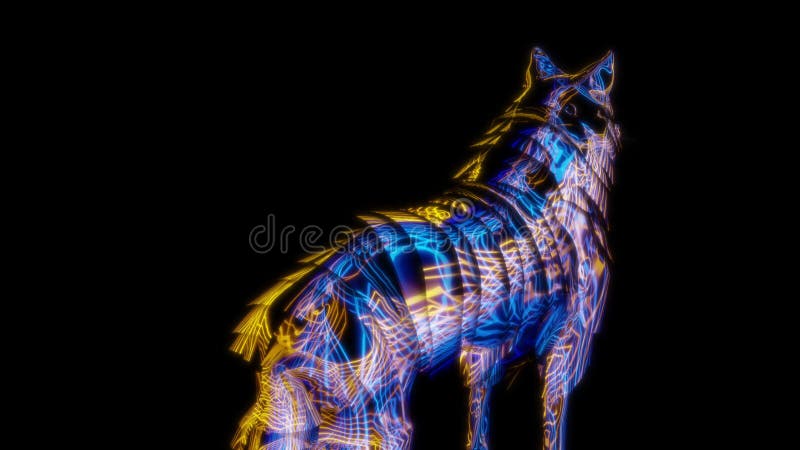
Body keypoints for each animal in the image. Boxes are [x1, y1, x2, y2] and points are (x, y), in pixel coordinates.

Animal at [231, 47, 619, 450]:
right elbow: (551, 425)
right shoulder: (562, 344)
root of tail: (296, 310)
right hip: (377, 416)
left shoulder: (485, 349)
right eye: (572, 109)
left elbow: (478, 419)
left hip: (297, 418)